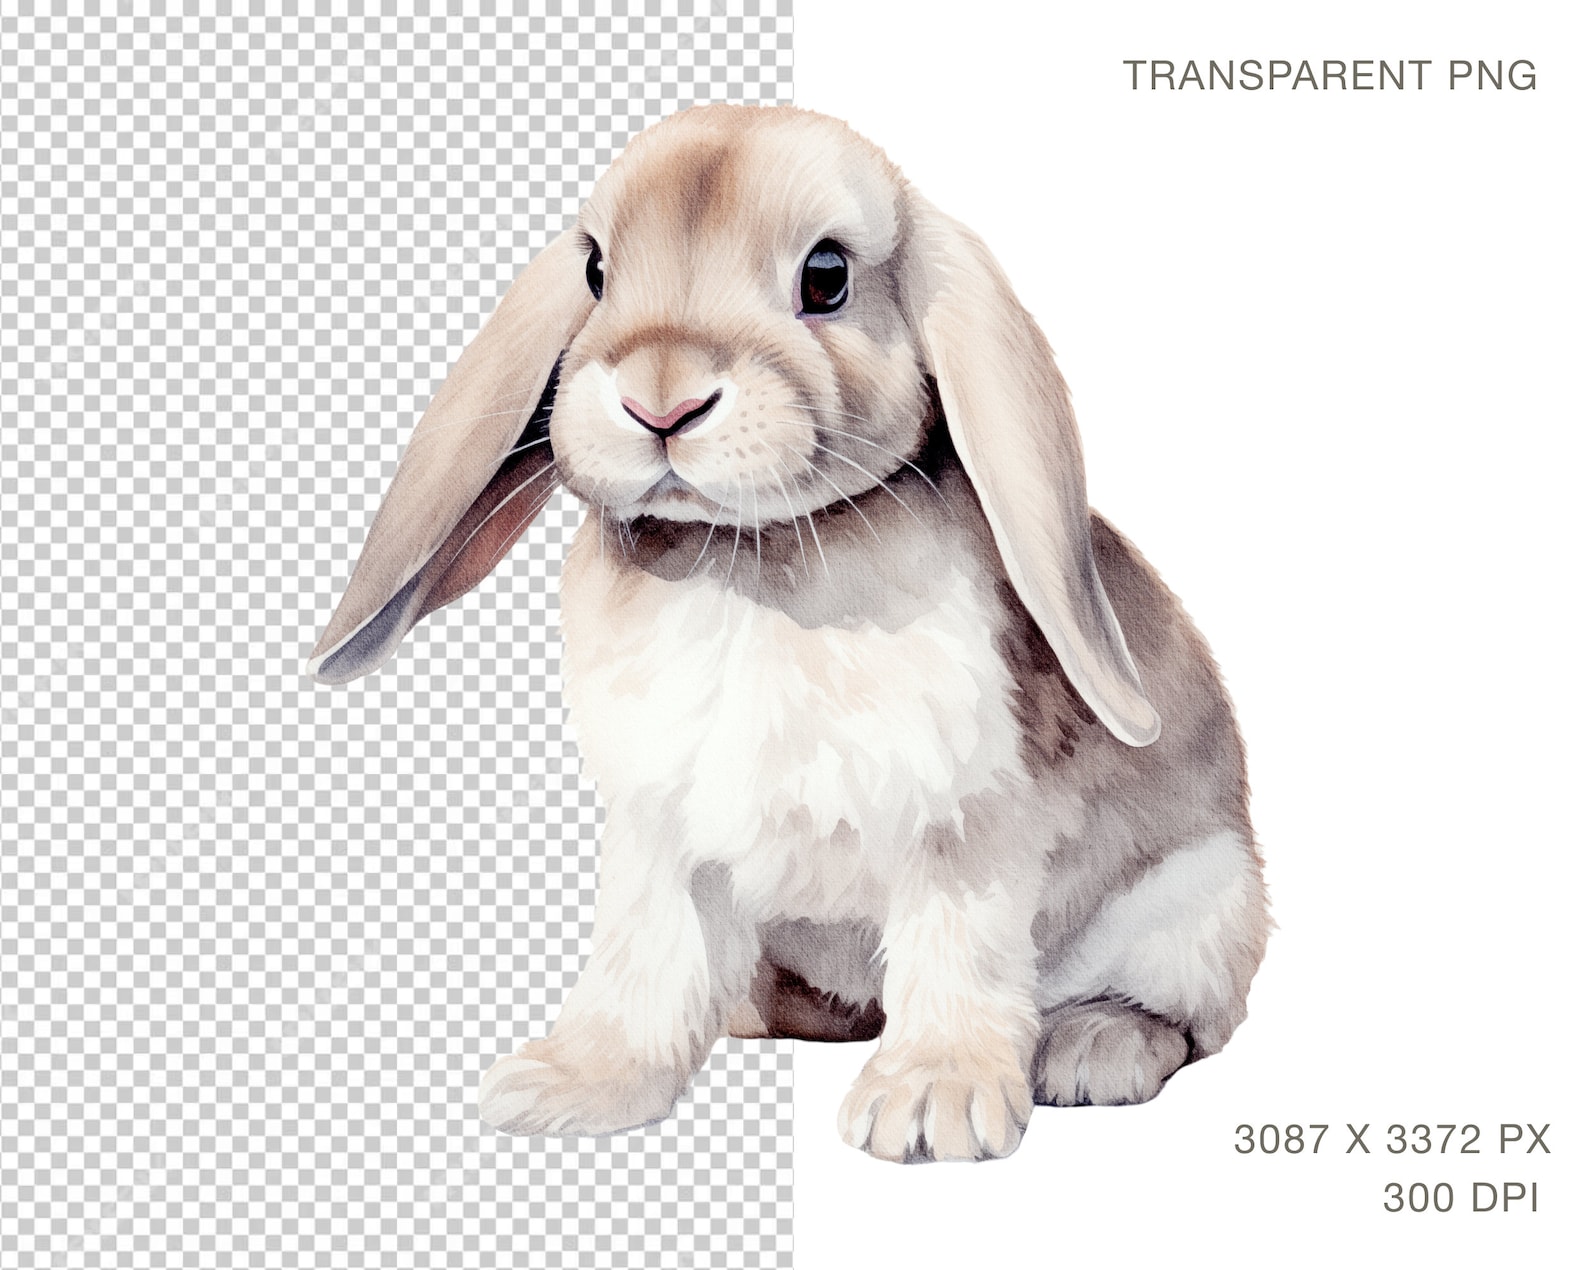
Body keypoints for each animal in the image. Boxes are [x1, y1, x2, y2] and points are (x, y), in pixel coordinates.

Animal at [307, 104, 1269, 1163]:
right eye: (597, 270)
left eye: (827, 277)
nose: (661, 399)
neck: (747, 555)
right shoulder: (662, 833)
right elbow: (645, 962)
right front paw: (568, 1087)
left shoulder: (961, 826)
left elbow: (956, 954)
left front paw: (929, 1109)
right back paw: (759, 1009)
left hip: (1198, 904)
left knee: (1188, 1017)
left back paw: (1092, 1049)